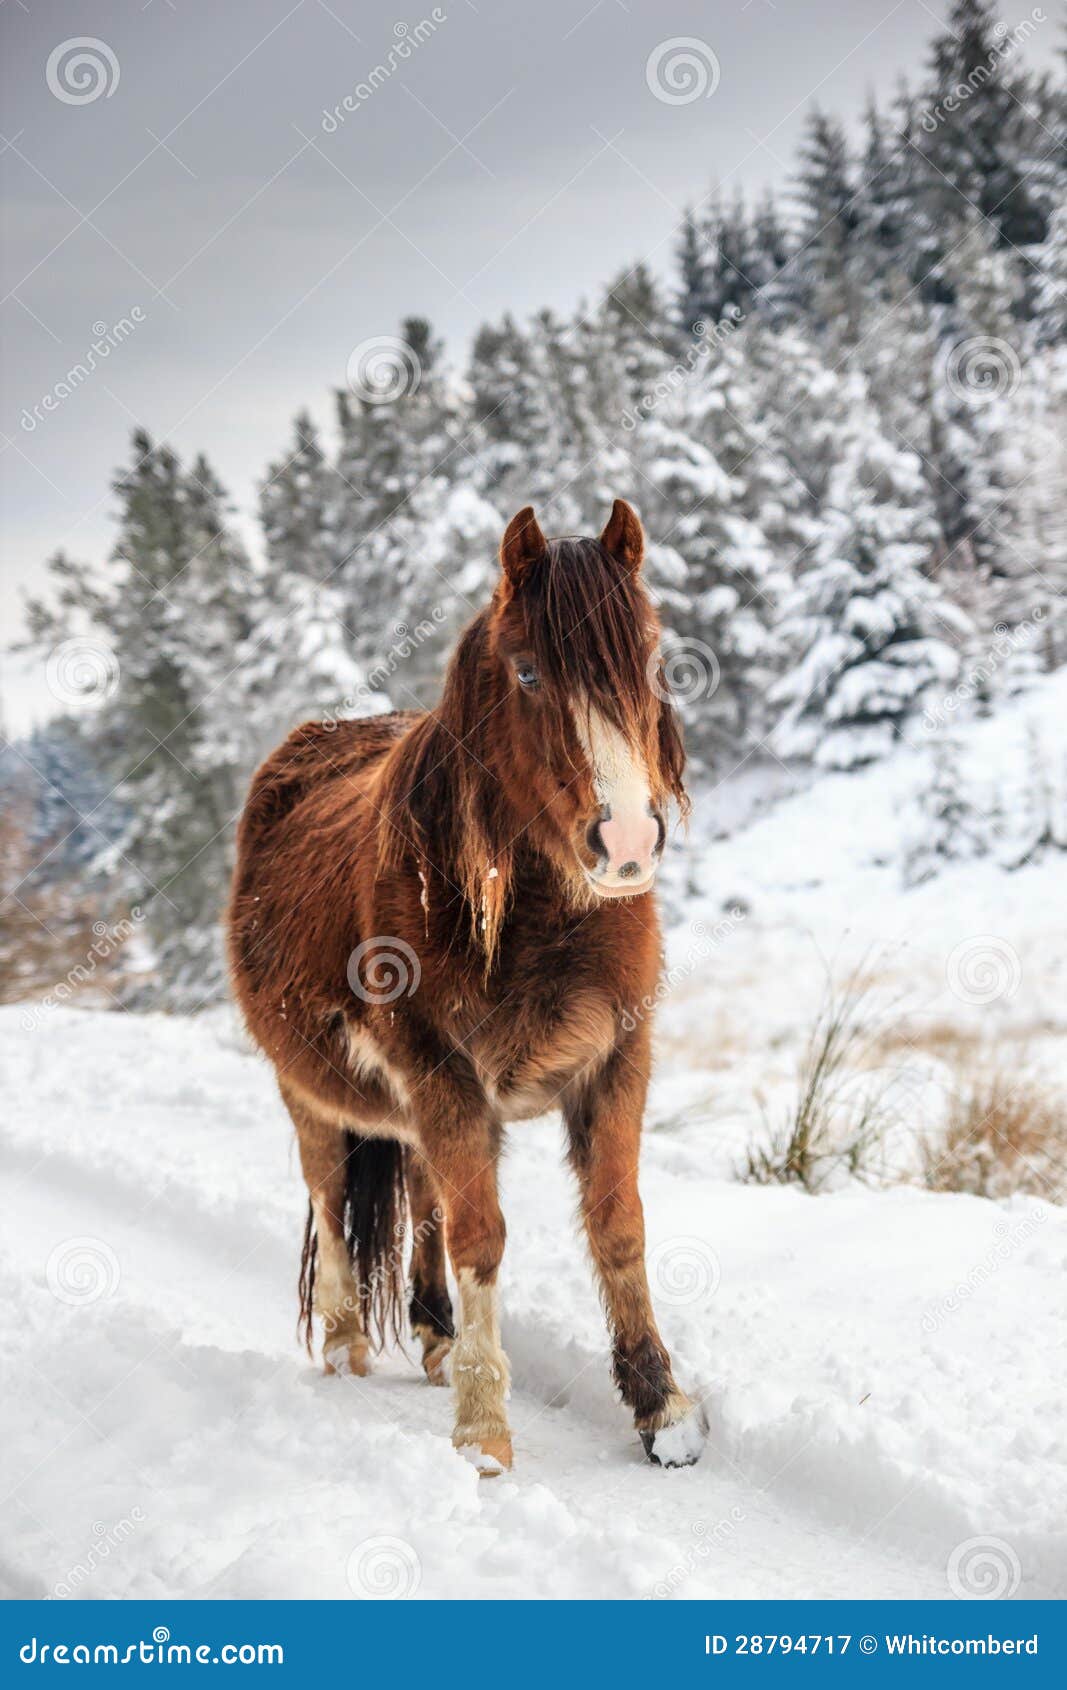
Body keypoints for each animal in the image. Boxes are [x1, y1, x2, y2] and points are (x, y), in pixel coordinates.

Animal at [227, 499, 707, 1472]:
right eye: (527, 670)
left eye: (648, 661)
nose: (627, 842)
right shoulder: (444, 1074)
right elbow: (482, 1235)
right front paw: (485, 1431)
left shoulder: (616, 1060)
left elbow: (617, 1223)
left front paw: (661, 1410)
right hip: (313, 1094)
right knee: (332, 1199)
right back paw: (346, 1343)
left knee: (422, 1198)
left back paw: (436, 1333)